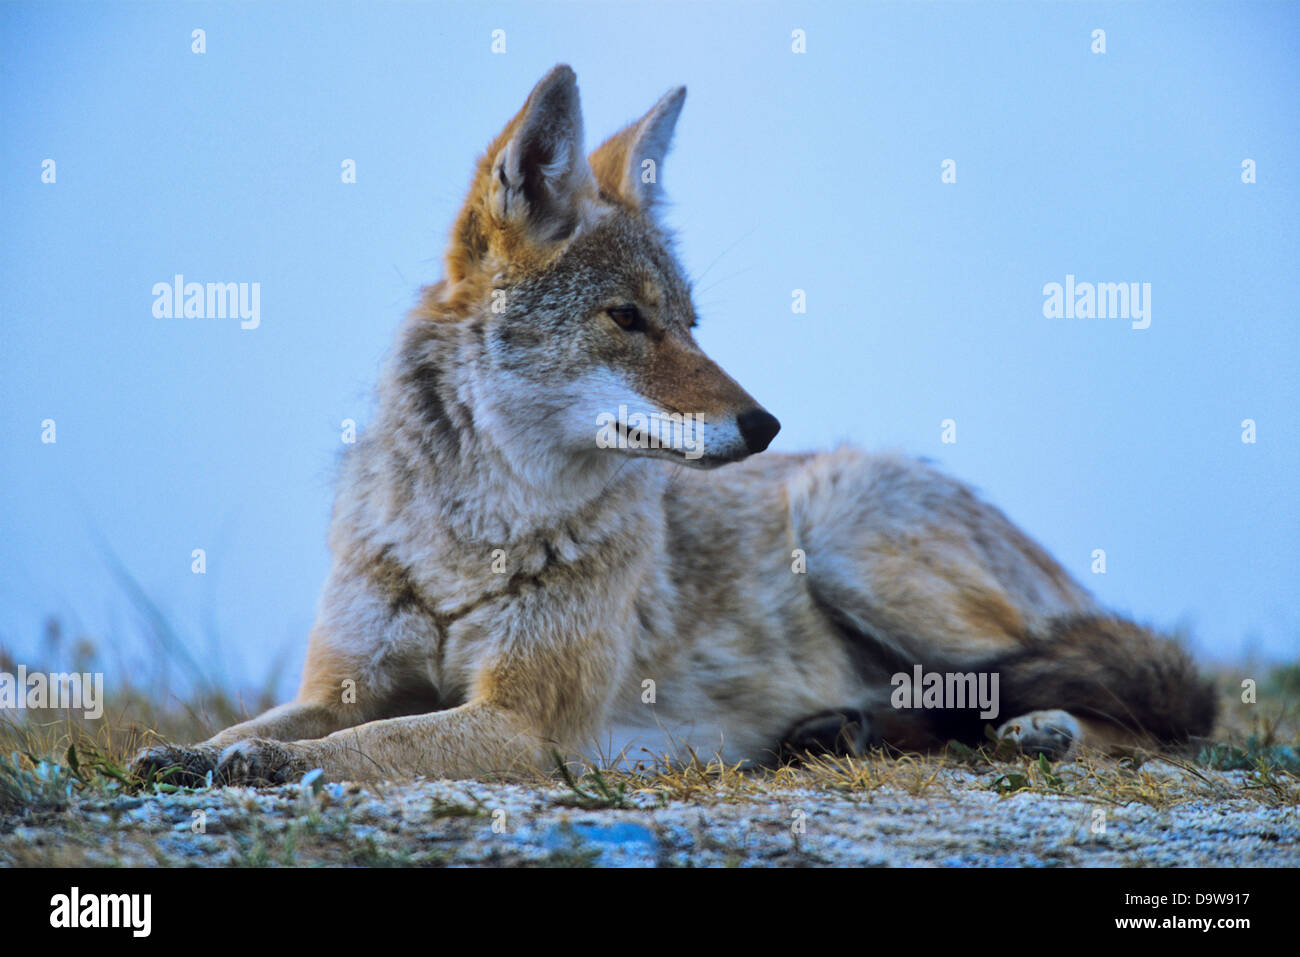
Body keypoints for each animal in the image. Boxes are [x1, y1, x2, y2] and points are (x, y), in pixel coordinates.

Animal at [131, 65, 1216, 786]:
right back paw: (844, 732)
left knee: (1155, 711)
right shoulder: (347, 678)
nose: (765, 422)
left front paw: (262, 766)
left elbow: (356, 746)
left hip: (849, 545)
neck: (463, 544)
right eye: (628, 319)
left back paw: (1041, 733)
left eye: (690, 322)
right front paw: (195, 750)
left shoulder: (522, 722)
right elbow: (266, 725)